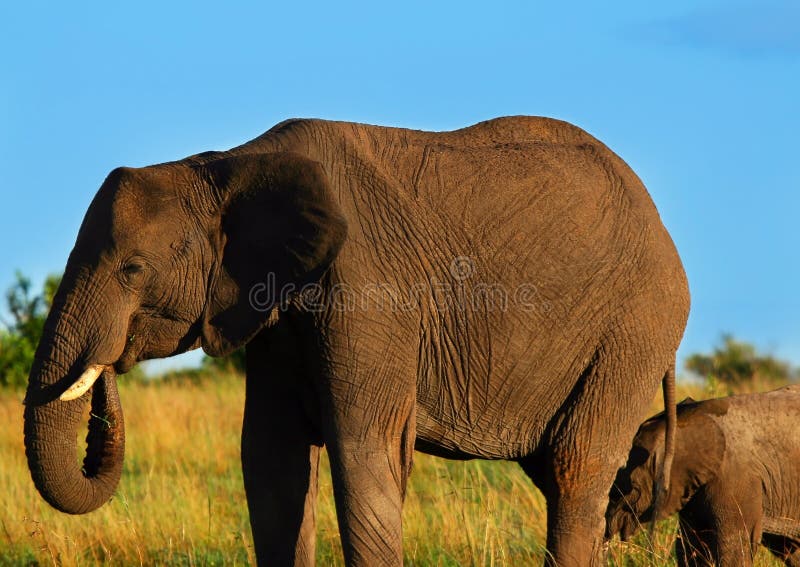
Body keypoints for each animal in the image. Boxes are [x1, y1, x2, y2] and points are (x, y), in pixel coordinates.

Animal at [23, 116, 689, 566]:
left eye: (133, 270)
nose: (108, 364)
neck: (228, 165)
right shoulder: (278, 307)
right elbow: (272, 458)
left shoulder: (367, 289)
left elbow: (363, 451)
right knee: (557, 474)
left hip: (633, 329)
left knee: (577, 468)